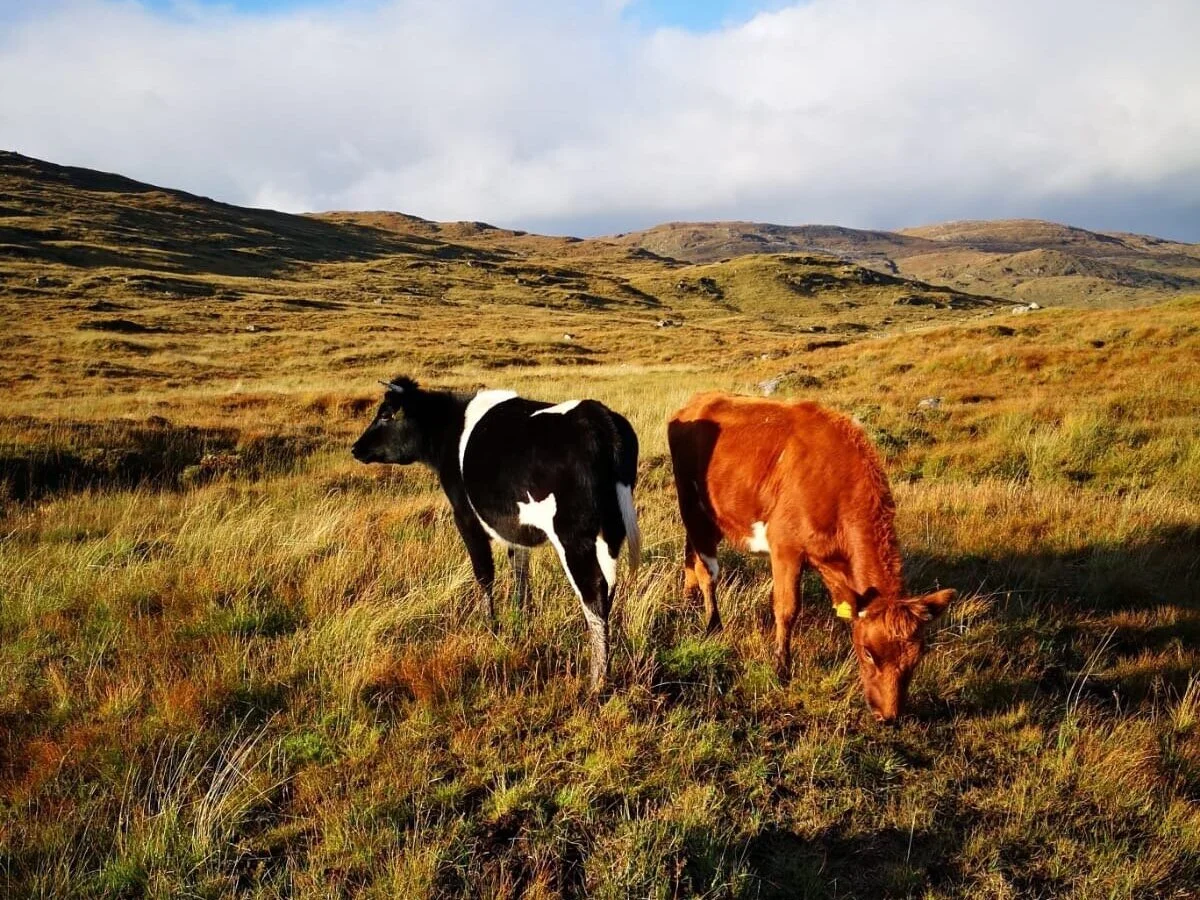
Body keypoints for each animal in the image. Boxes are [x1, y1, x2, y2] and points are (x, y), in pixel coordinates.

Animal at [351, 377, 641, 689]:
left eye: (385, 414)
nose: (355, 448)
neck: (448, 430)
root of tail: (596, 415)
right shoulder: (517, 527)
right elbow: (520, 571)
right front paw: (521, 621)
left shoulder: (465, 516)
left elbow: (484, 574)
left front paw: (490, 627)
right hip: (610, 530)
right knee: (608, 586)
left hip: (572, 536)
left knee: (593, 591)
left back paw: (597, 681)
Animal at [667, 392, 956, 724]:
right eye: (869, 652)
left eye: (917, 657)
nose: (889, 716)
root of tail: (700, 399)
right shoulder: (785, 547)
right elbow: (787, 609)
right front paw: (782, 669)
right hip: (692, 505)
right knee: (707, 569)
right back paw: (712, 624)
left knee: (690, 553)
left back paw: (689, 599)